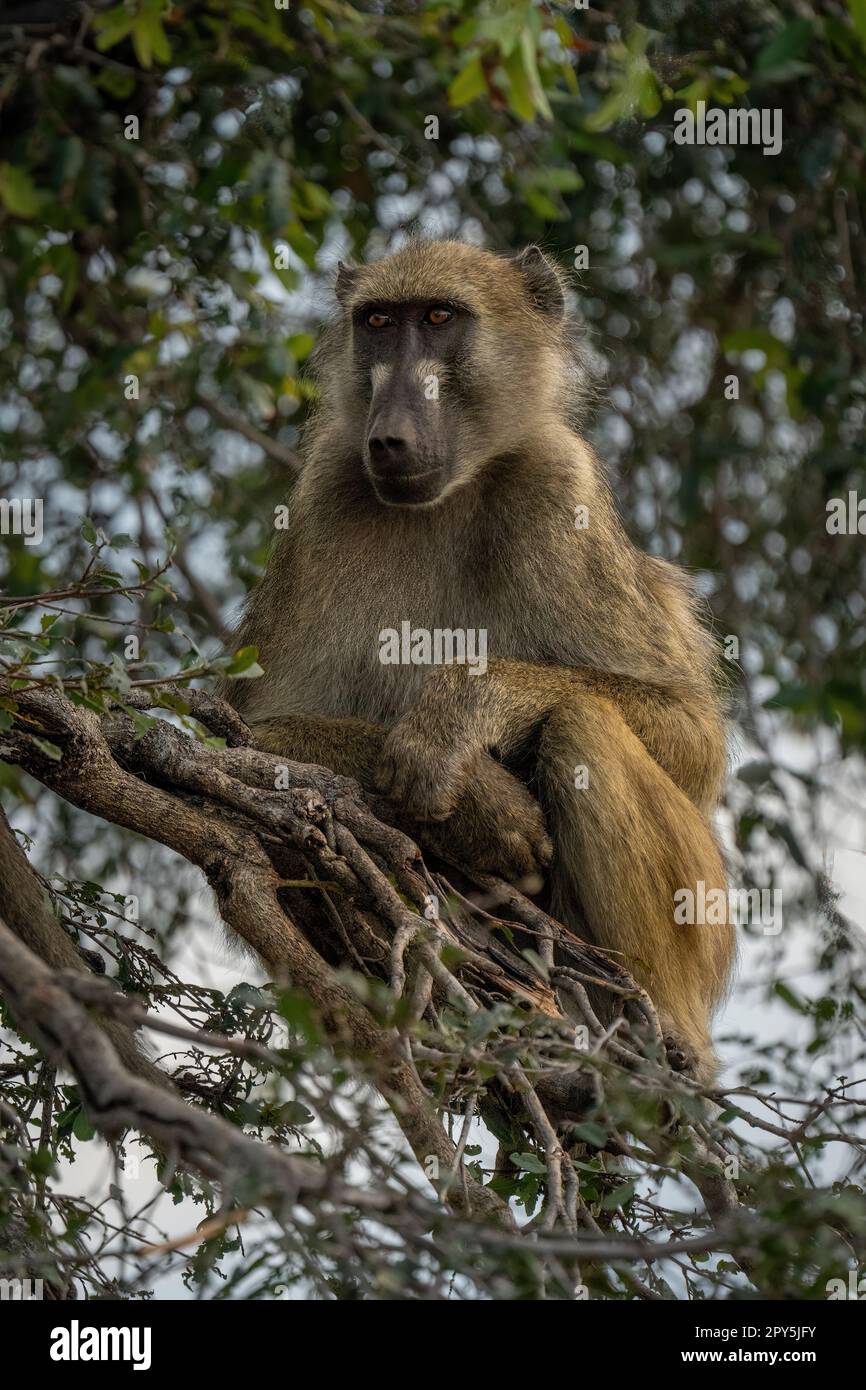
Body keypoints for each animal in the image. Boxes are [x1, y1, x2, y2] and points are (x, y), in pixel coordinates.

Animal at [222, 239, 735, 1084]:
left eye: (438, 318)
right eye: (378, 324)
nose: (390, 436)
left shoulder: (560, 483)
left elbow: (694, 737)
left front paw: (459, 713)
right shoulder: (324, 494)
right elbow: (251, 732)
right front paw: (483, 805)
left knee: (582, 725)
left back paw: (662, 1036)